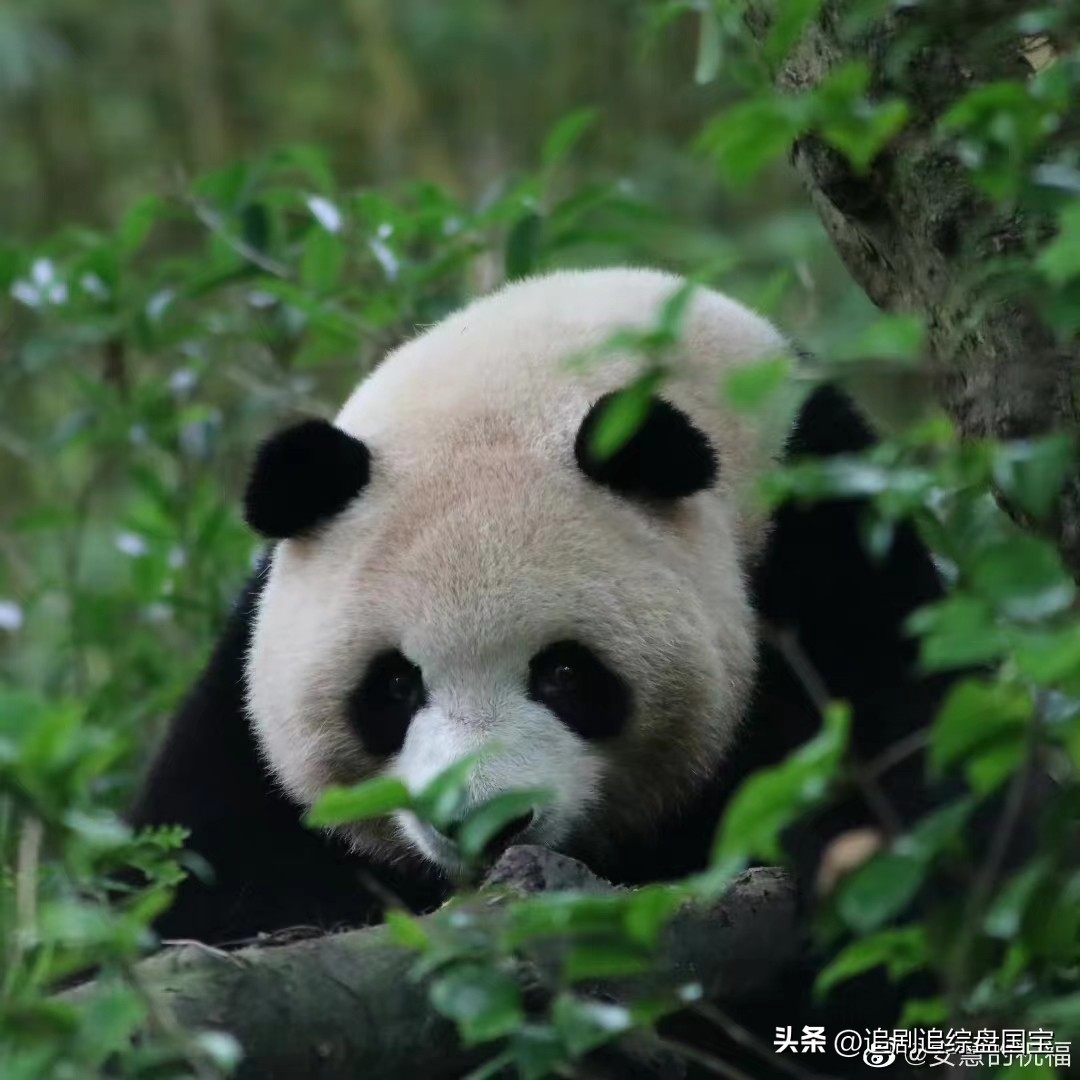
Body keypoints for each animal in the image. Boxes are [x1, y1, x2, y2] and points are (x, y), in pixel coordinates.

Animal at [129, 266, 950, 953]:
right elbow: (208, 872)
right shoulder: (243, 715)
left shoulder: (822, 523)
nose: (481, 824)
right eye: (393, 685)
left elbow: (891, 742)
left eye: (564, 672)